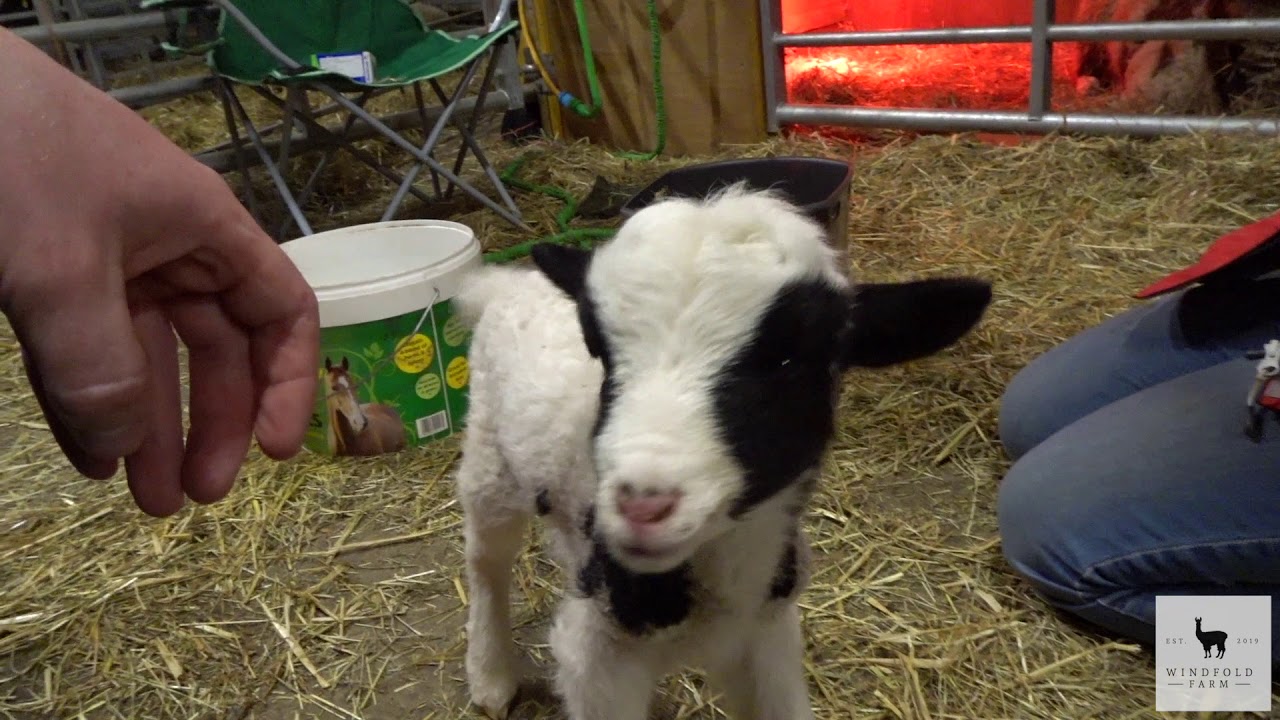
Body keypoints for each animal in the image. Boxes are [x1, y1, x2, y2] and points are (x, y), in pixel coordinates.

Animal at [449, 185, 993, 720]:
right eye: (600, 351)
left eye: (790, 360)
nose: (643, 506)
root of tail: (509, 283)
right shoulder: (596, 657)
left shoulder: (766, 633)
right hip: (488, 457)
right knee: (486, 560)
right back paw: (491, 675)